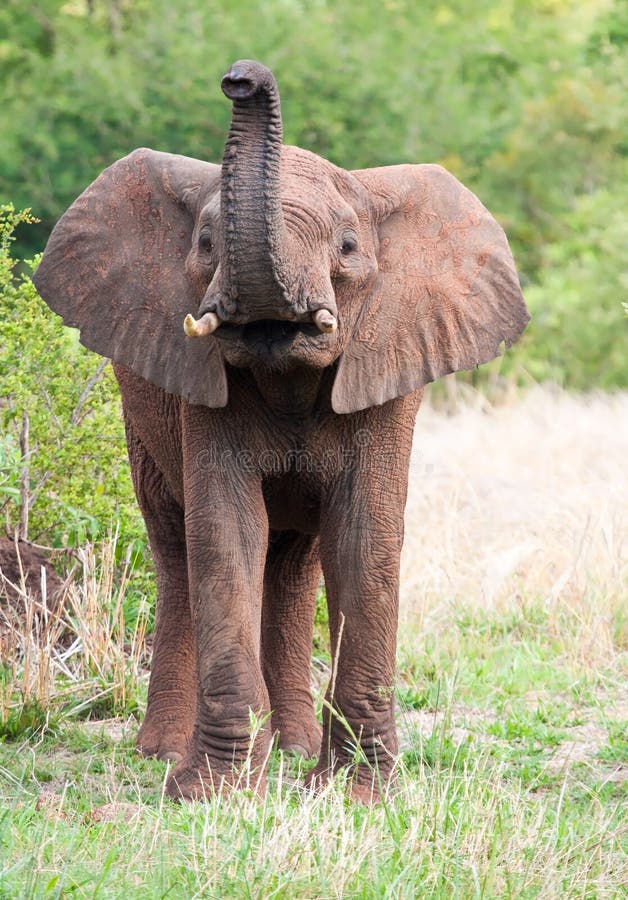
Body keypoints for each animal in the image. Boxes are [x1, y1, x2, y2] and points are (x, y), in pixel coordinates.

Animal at [33, 60, 529, 802]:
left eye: (347, 248)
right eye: (205, 244)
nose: (239, 78)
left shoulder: (387, 372)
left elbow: (364, 538)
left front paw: (357, 795)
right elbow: (225, 536)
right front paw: (210, 792)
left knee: (295, 563)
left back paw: (293, 749)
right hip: (139, 422)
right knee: (176, 548)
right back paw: (164, 752)